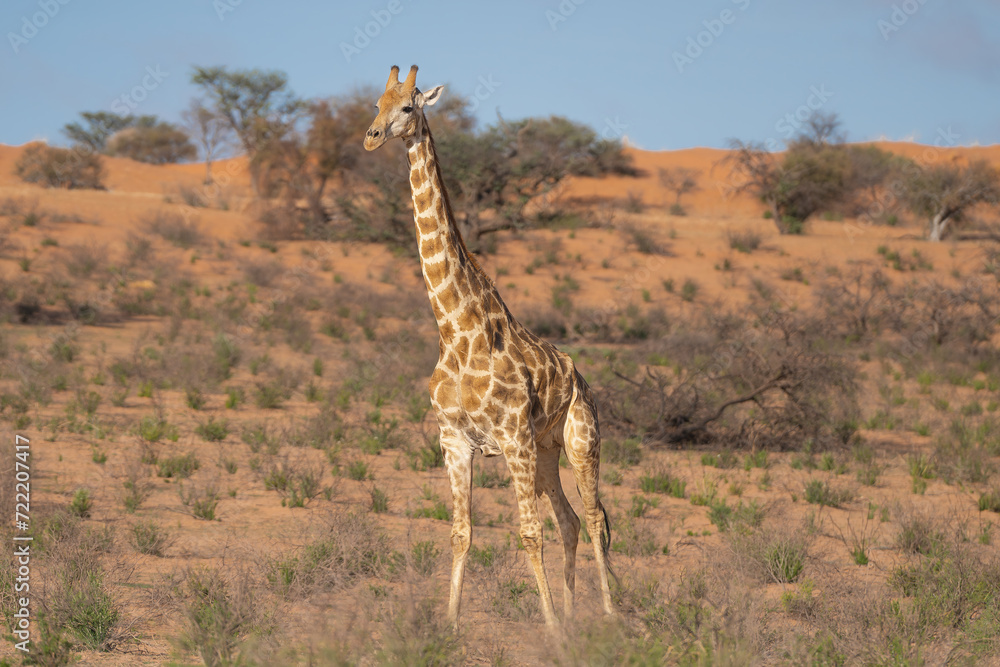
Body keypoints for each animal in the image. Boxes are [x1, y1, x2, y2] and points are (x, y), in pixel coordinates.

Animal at [364, 65, 613, 629]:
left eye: (407, 106)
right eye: (375, 104)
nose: (370, 137)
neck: (455, 330)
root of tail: (582, 379)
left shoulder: (513, 439)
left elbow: (528, 535)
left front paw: (550, 633)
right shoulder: (454, 440)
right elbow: (462, 533)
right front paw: (451, 626)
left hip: (580, 441)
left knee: (593, 518)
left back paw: (615, 615)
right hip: (546, 451)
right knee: (570, 520)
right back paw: (576, 617)